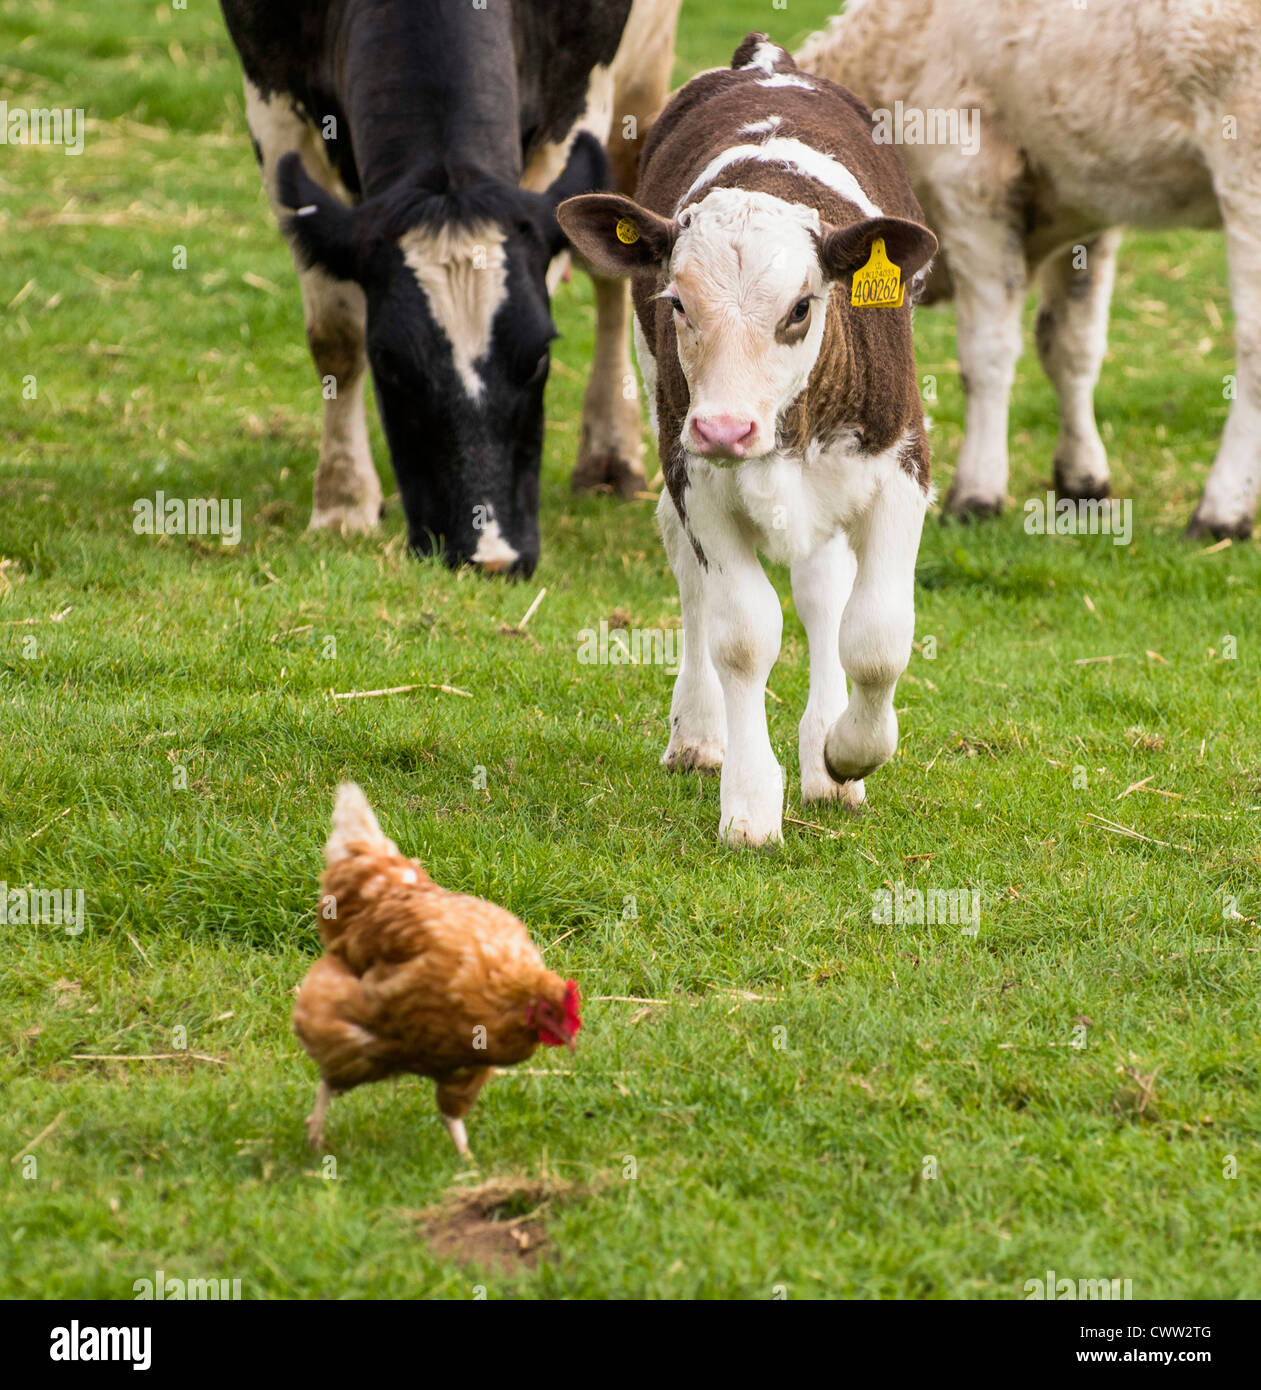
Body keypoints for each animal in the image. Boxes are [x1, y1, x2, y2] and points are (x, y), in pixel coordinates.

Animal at [219, 0, 681, 576]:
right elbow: (335, 335)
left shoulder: (578, 95)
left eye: (540, 358)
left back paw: (610, 456)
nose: (491, 559)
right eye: (390, 363)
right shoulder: (272, 93)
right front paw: (343, 501)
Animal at [559, 35, 938, 847]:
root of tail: (765, 60)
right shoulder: (695, 478)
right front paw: (750, 801)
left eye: (800, 307)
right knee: (693, 577)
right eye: (676, 301)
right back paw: (700, 733)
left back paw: (826, 756)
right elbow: (742, 633)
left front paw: (849, 754)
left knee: (824, 590)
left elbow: (876, 634)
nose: (725, 427)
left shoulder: (900, 468)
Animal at [798, 0, 1261, 539]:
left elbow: (987, 355)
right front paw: (1083, 482)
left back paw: (1221, 511)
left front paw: (977, 492)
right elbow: (1070, 347)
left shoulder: (972, 181)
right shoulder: (1086, 202)